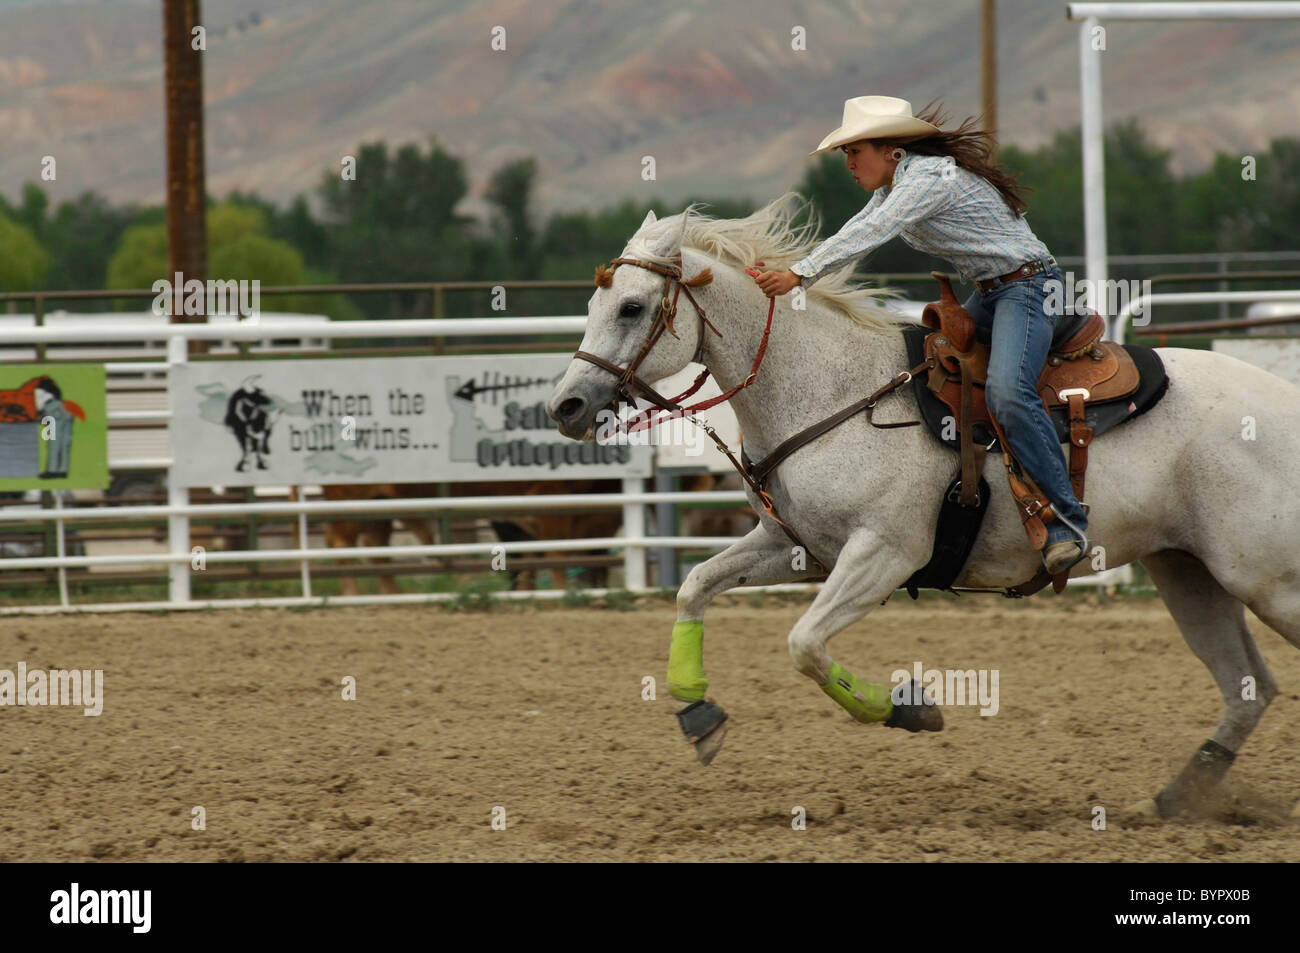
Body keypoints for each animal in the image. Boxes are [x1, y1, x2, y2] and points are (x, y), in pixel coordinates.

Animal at [545, 193, 1300, 820]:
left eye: (632, 308)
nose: (567, 406)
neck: (833, 390)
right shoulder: (797, 546)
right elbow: (695, 586)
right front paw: (699, 714)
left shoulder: (885, 551)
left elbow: (805, 644)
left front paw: (911, 709)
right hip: (1188, 572)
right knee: (1248, 687)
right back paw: (1177, 797)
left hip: (1267, 579)